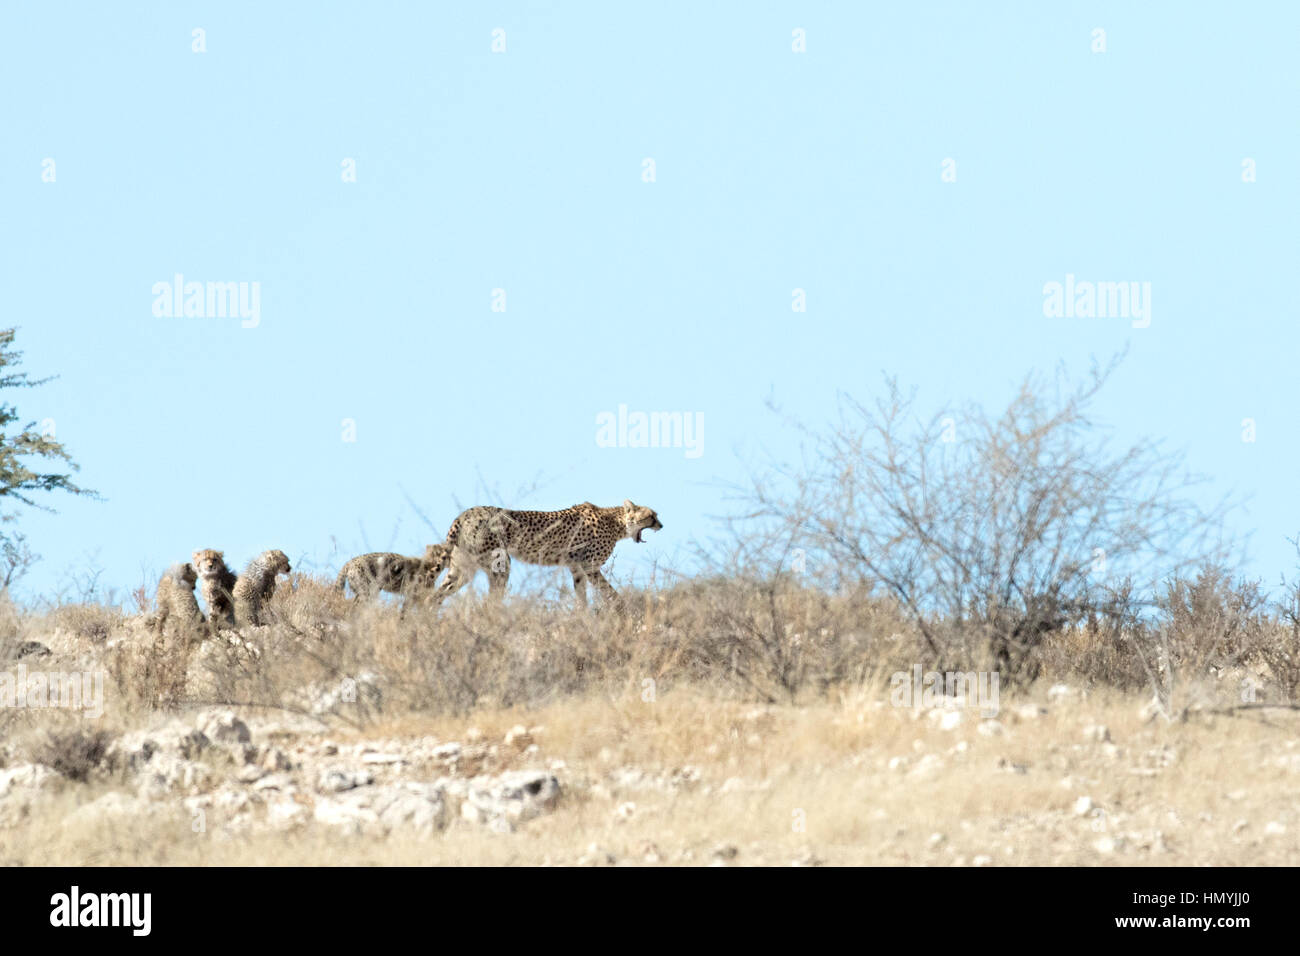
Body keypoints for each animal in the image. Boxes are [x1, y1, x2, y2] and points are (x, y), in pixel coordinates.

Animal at [429, 500, 662, 608]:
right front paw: (623, 607)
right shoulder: (590, 566)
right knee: (491, 600)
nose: (661, 525)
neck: (616, 521)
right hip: (500, 563)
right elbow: (609, 591)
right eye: (651, 516)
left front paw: (583, 617)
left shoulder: (576, 568)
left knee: (435, 595)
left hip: (462, 569)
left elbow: (581, 595)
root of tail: (465, 513)